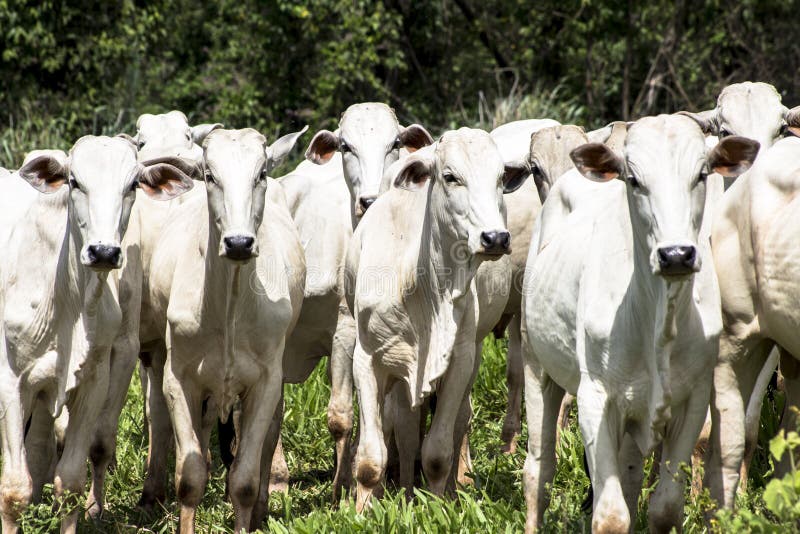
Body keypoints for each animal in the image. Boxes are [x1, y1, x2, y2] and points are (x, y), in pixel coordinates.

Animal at [0, 136, 194, 533]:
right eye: (75, 182)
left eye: (132, 185)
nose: (103, 251)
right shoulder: (11, 383)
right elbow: (13, 491)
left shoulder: (96, 378)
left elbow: (73, 479)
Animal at [145, 128, 306, 532]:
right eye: (210, 176)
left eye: (260, 173)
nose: (239, 242)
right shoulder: (179, 379)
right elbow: (190, 477)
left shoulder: (266, 382)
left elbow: (244, 481)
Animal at [345, 128, 523, 510]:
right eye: (450, 176)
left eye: (500, 177)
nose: (495, 237)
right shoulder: (367, 361)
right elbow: (370, 458)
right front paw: (363, 509)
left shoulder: (459, 361)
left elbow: (439, 452)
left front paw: (440, 506)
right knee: (406, 424)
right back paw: (404, 488)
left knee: (458, 421)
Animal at [520, 114, 758, 533]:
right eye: (633, 179)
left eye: (701, 173)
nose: (676, 254)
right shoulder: (594, 399)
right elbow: (611, 516)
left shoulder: (691, 401)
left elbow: (665, 507)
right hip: (536, 364)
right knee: (538, 470)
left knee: (629, 474)